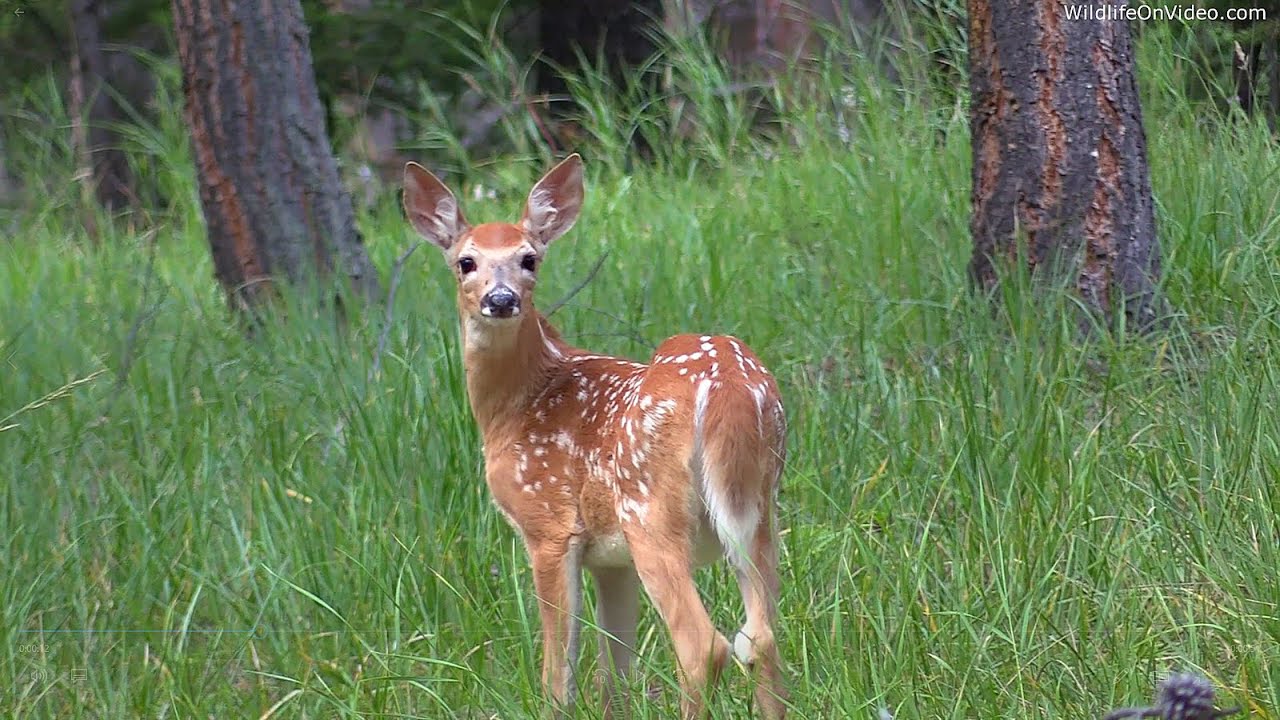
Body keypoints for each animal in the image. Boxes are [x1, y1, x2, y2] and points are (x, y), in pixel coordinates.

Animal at [402, 154, 787, 719]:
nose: (501, 299)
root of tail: (729, 388)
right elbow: (615, 676)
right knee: (762, 638)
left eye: (529, 259)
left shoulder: (549, 525)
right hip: (757, 508)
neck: (514, 407)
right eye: (465, 262)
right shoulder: (612, 560)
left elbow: (558, 670)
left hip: (649, 512)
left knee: (703, 646)